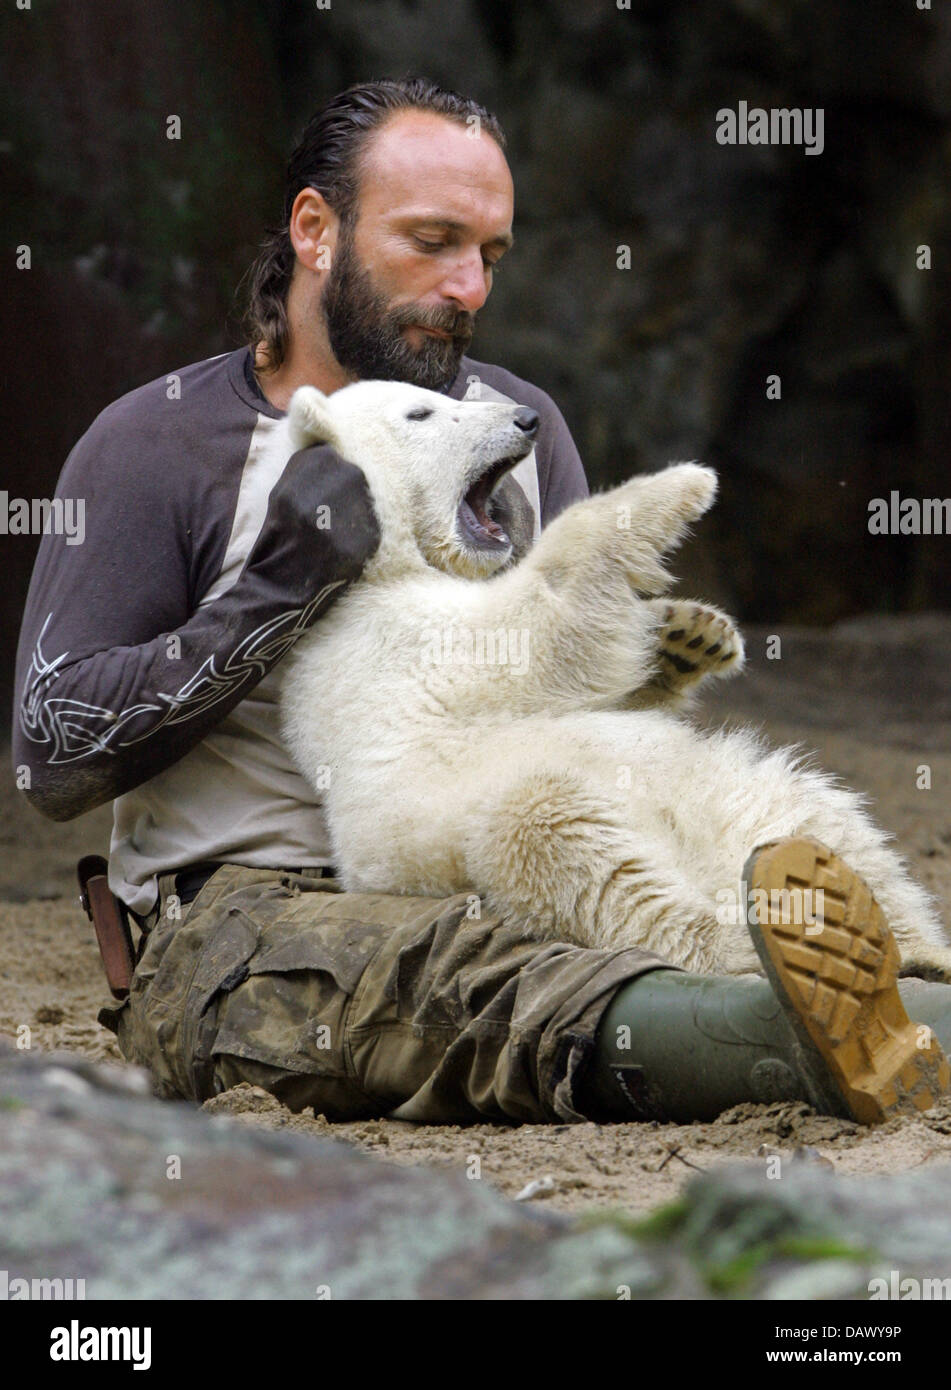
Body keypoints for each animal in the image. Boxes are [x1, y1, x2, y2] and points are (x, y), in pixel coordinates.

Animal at [279, 379, 951, 981]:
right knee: (575, 847)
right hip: (478, 833)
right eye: (420, 412)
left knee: (807, 817)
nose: (526, 418)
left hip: (723, 795)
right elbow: (541, 622)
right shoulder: (393, 638)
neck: (369, 570)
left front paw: (693, 636)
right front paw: (687, 482)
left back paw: (907, 944)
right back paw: (767, 937)